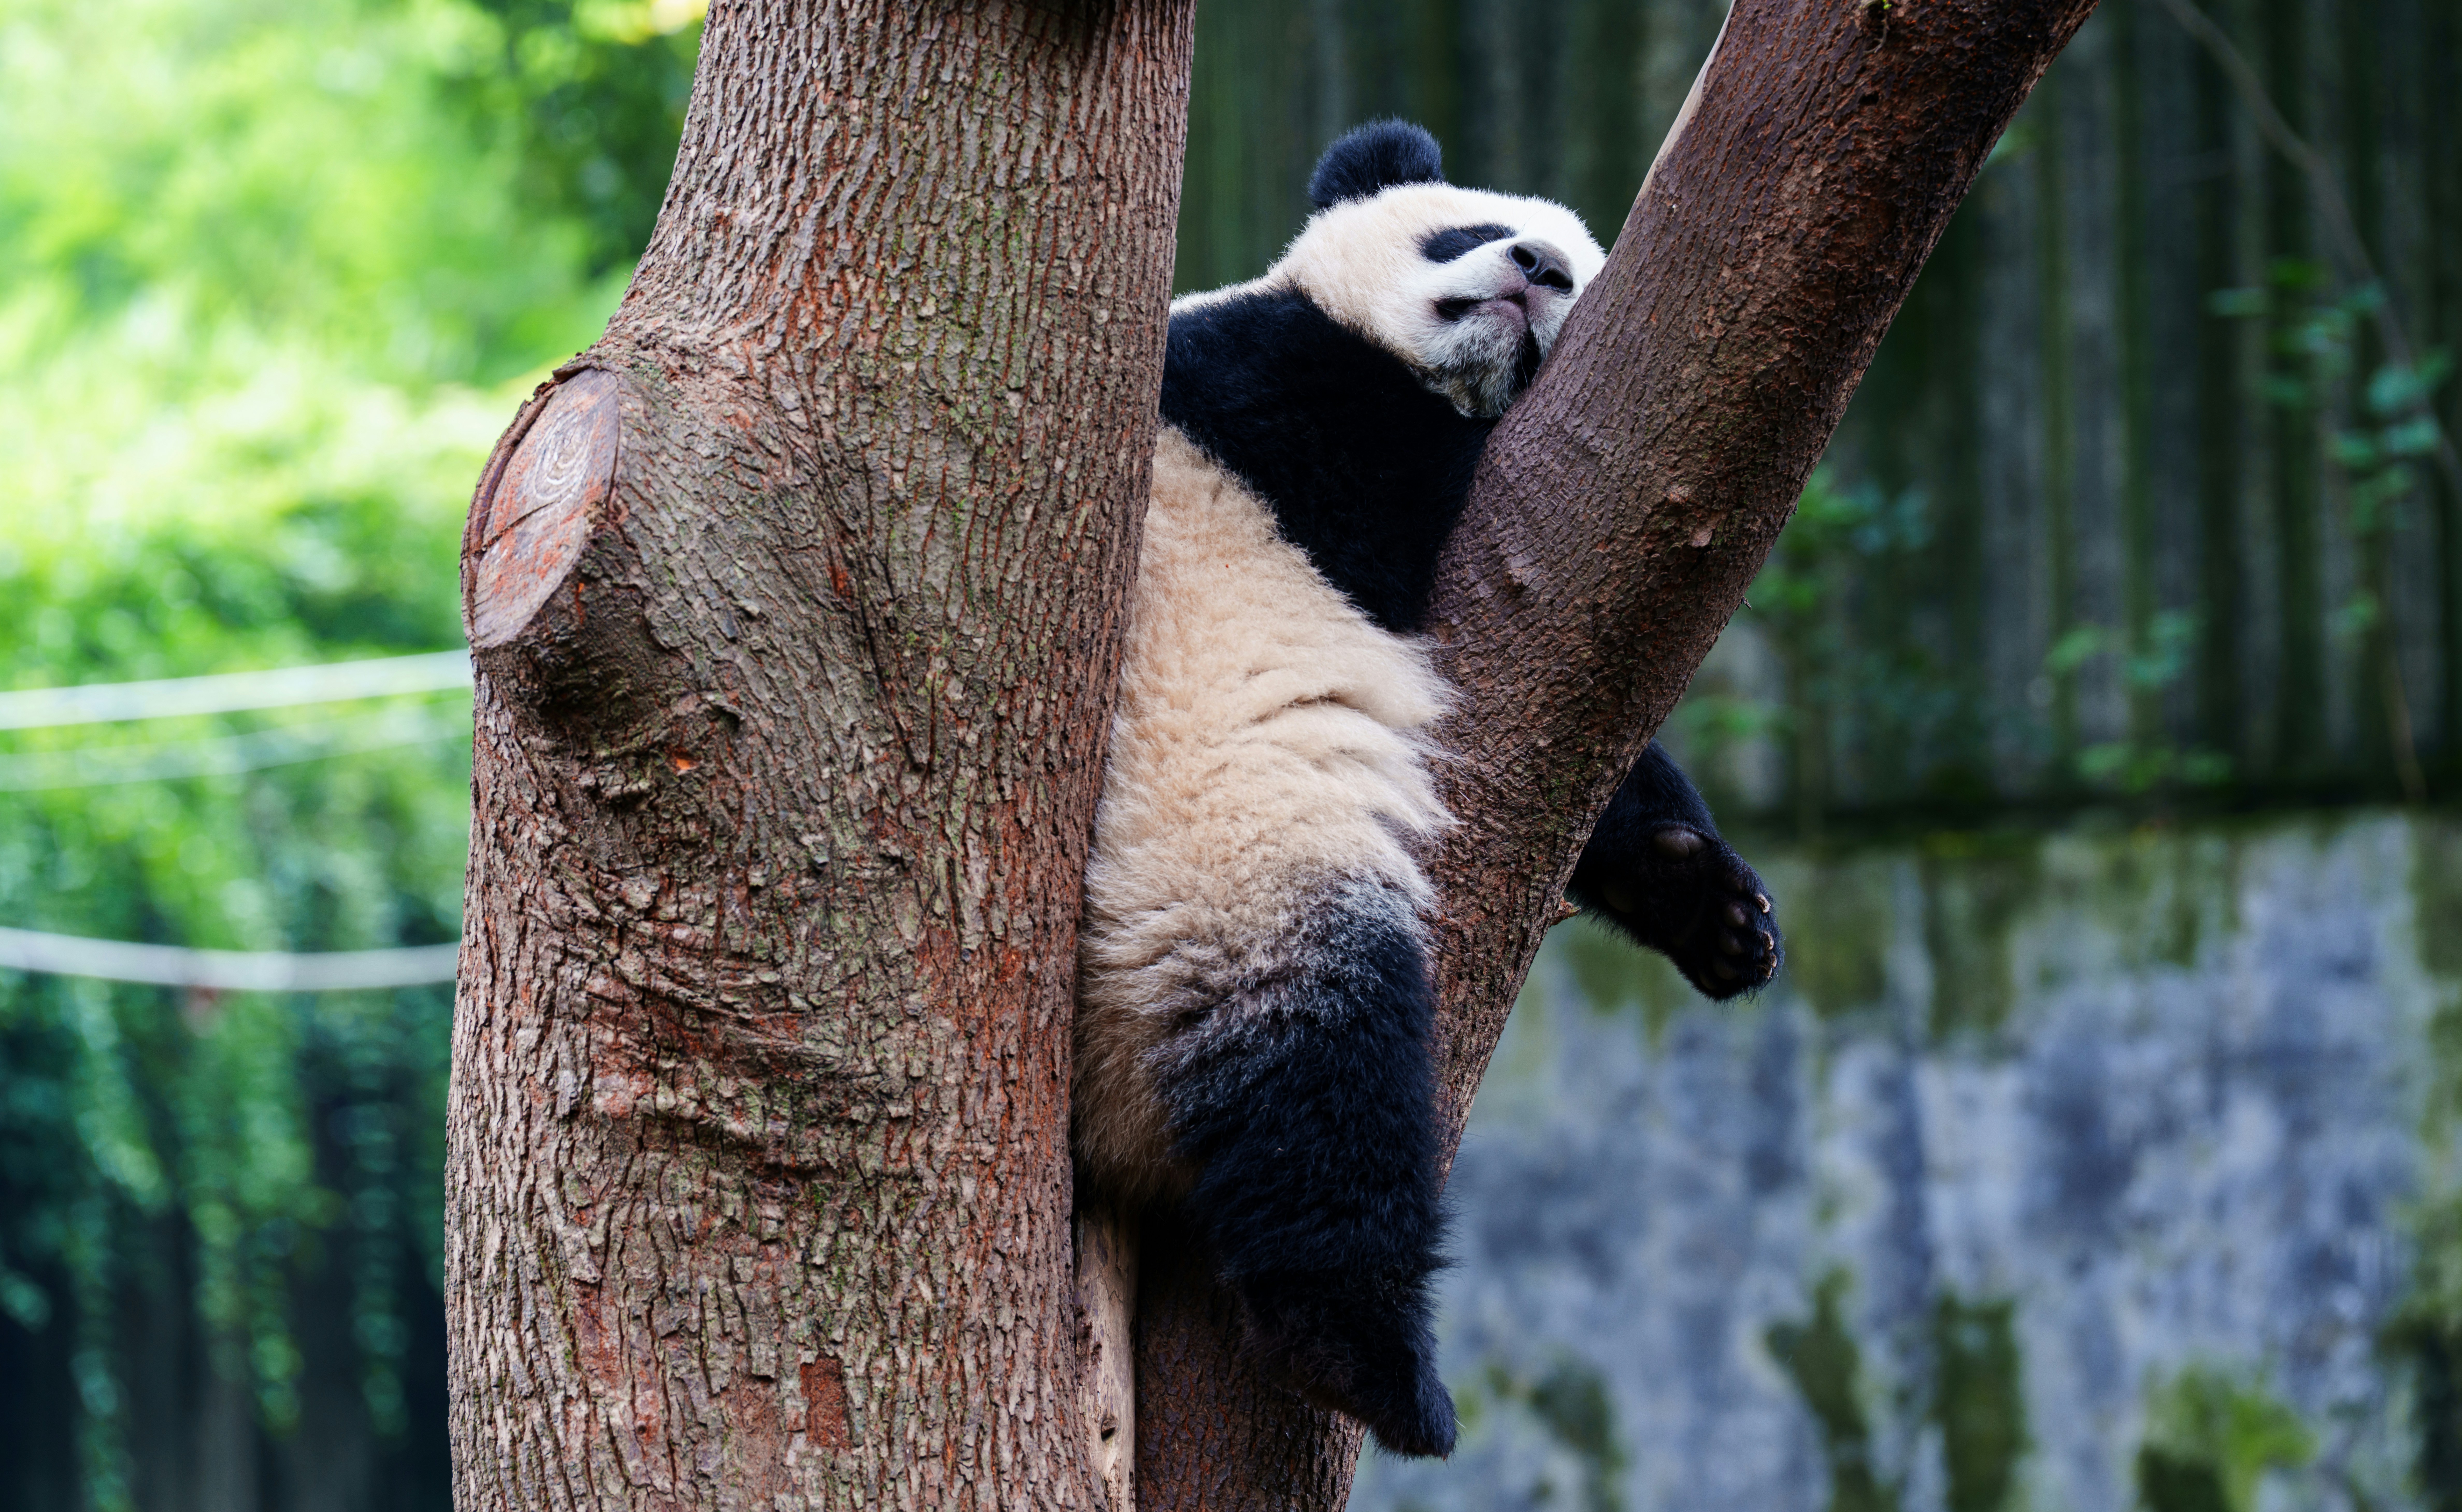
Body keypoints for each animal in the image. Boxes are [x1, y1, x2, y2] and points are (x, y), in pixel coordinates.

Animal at [1073, 120, 1781, 1460]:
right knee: (1324, 1077)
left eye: (1579, 275)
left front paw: (1713, 908)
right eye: (1468, 230)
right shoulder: (1272, 389)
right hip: (1218, 868)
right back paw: (1374, 1359)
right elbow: (1365, 466)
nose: (1531, 275)